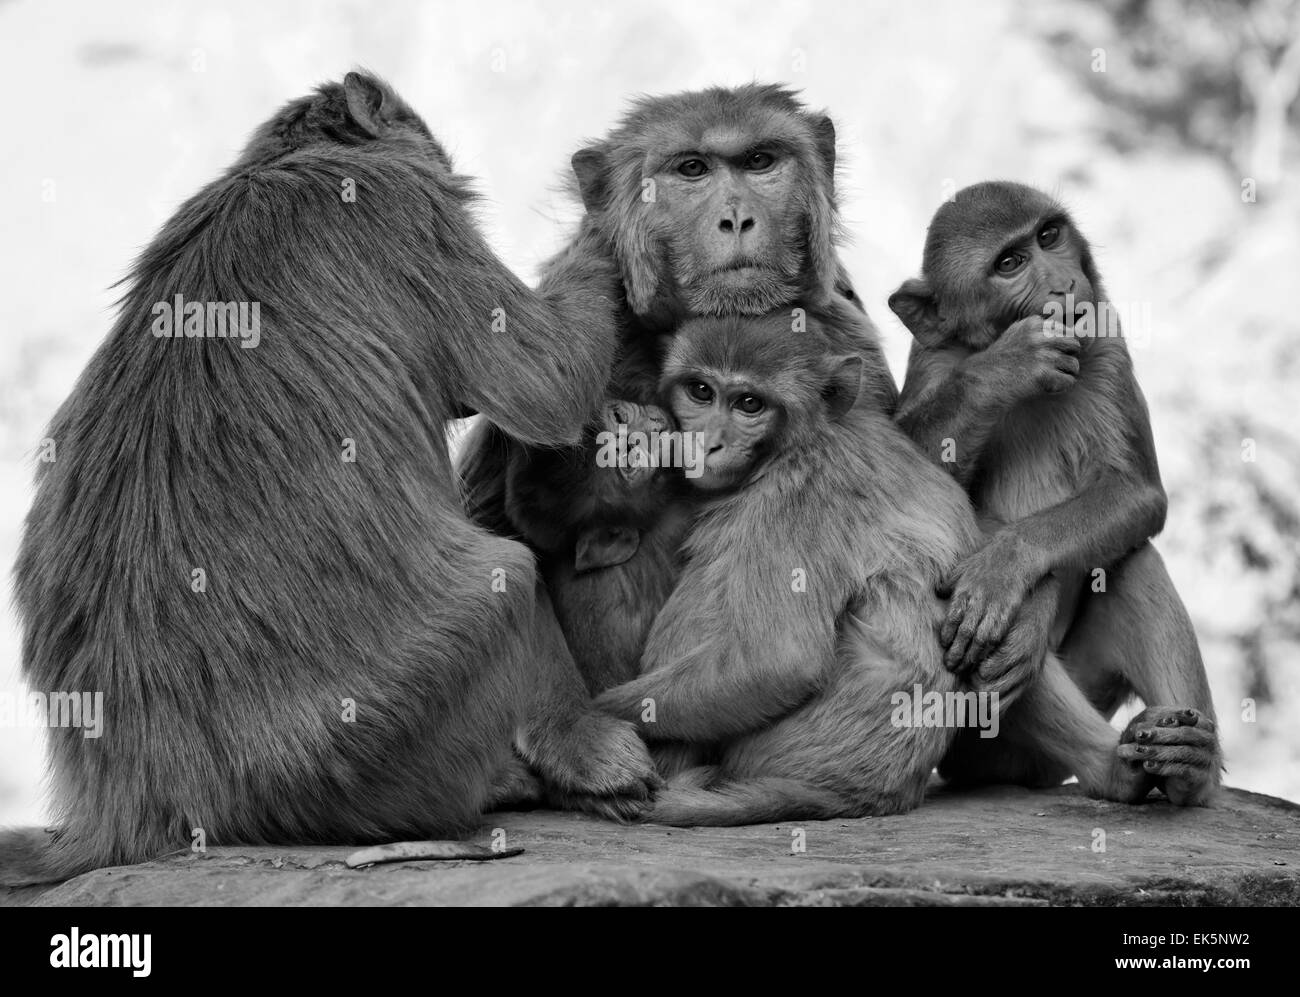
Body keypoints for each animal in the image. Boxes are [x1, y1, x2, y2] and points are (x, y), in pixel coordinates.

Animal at [0, 71, 656, 886]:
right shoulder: (412, 215)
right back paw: (569, 755)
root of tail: (136, 794)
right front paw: (606, 225)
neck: (282, 164)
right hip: (376, 733)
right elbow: (548, 385)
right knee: (504, 576)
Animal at [456, 87, 902, 811]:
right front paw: (577, 738)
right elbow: (500, 544)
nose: (737, 217)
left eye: (759, 161)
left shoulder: (844, 327)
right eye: (692, 169)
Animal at [589, 312, 1164, 826]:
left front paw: (590, 726)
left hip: (781, 750)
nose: (707, 442)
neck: (806, 438)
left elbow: (780, 659)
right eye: (701, 391)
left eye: (748, 403)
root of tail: (870, 795)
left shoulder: (791, 502)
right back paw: (1113, 768)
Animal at [889, 181, 1220, 806]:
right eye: (1009, 264)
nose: (1065, 284)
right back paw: (1115, 771)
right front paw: (1006, 368)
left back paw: (1189, 768)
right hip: (973, 749)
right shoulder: (935, 358)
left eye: (1048, 235)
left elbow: (1137, 495)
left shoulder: (1104, 335)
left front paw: (1010, 569)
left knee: (1133, 560)